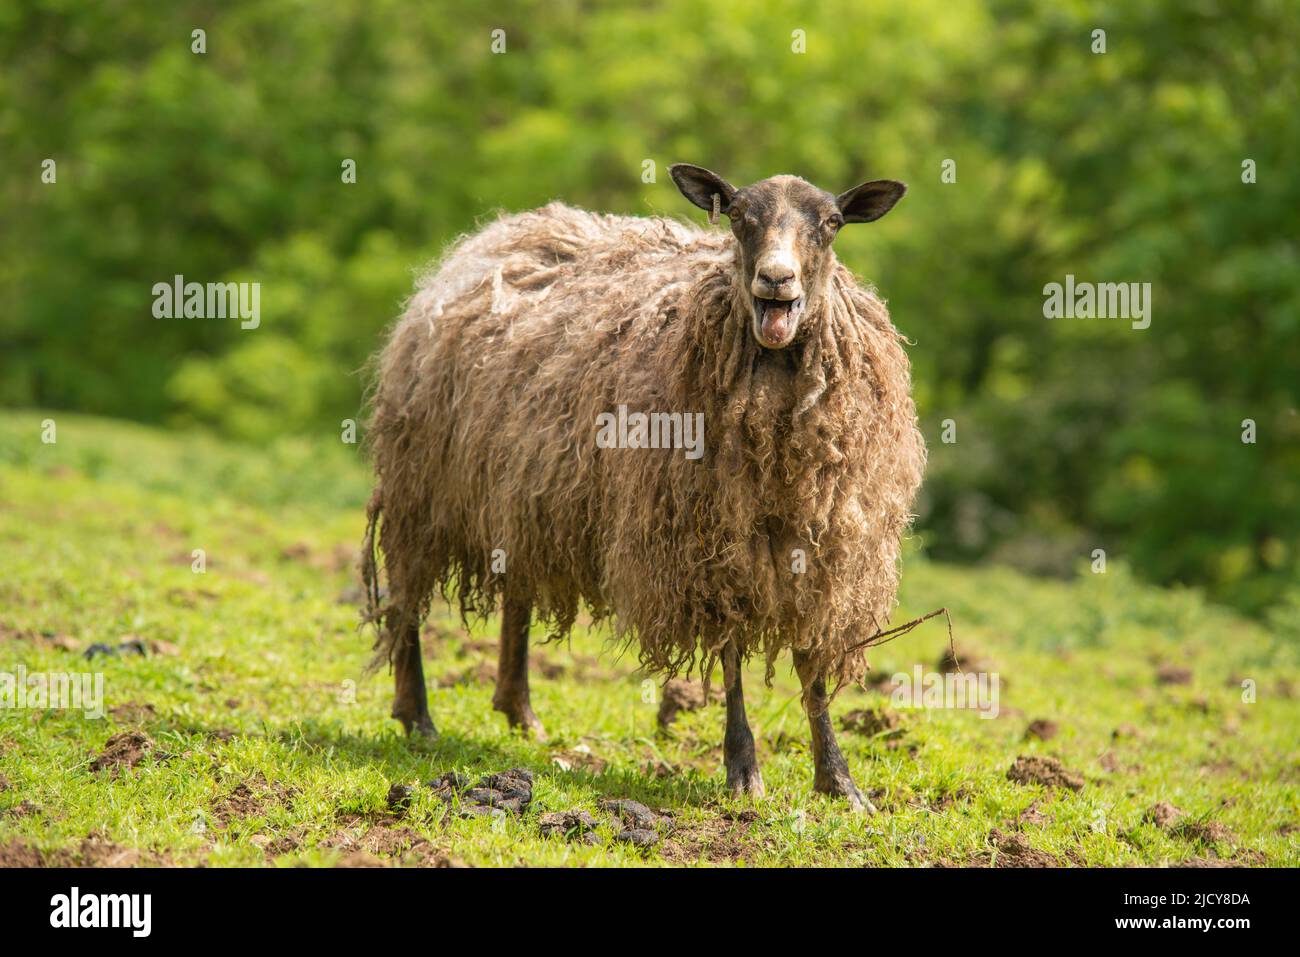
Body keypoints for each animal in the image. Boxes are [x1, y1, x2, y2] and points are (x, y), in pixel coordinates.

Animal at [361, 164, 925, 810]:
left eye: (831, 224)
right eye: (738, 216)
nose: (775, 281)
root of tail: (498, 232)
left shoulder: (828, 550)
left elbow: (814, 669)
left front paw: (840, 782)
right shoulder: (705, 546)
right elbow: (731, 658)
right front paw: (743, 770)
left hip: (521, 494)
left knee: (518, 594)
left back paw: (518, 710)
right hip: (422, 488)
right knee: (407, 599)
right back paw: (418, 716)